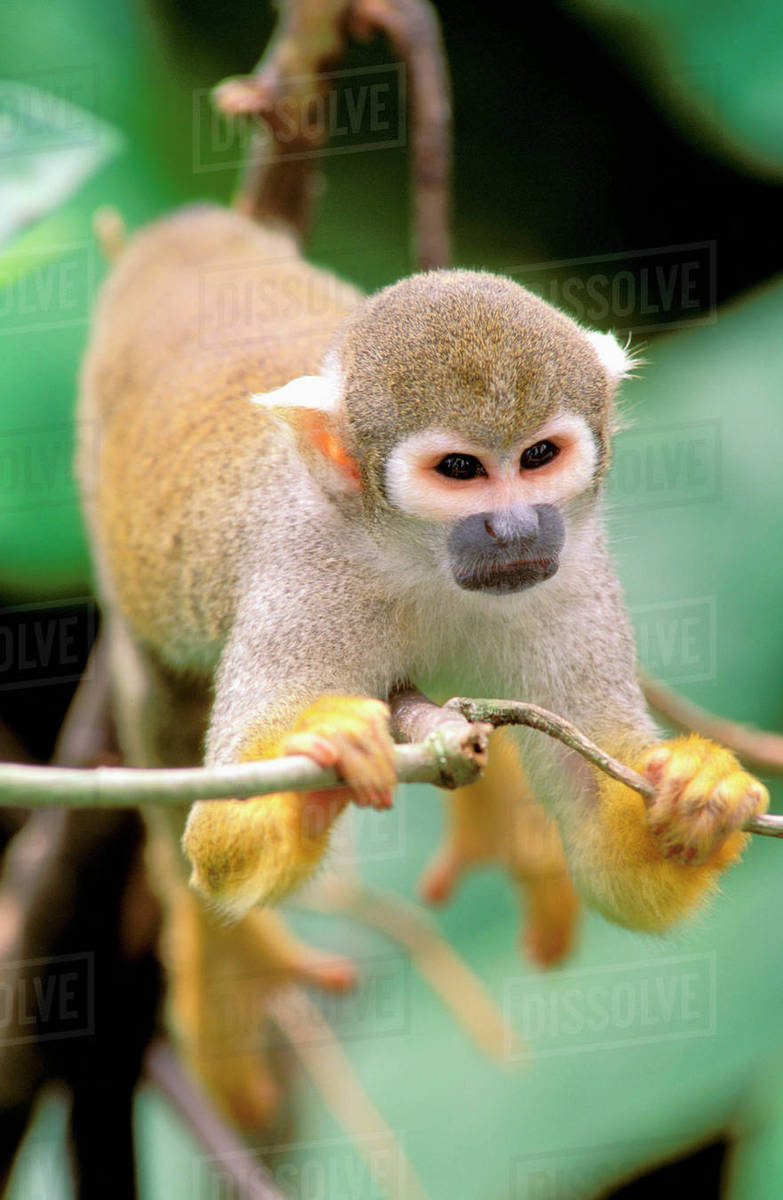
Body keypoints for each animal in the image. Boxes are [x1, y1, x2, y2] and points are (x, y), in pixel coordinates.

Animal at [76, 201, 767, 1124]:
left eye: (538, 457)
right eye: (460, 469)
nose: (514, 528)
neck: (416, 558)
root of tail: (177, 238)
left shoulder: (574, 568)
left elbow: (613, 859)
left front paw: (703, 793)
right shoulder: (303, 576)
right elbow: (218, 831)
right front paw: (331, 754)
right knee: (160, 714)